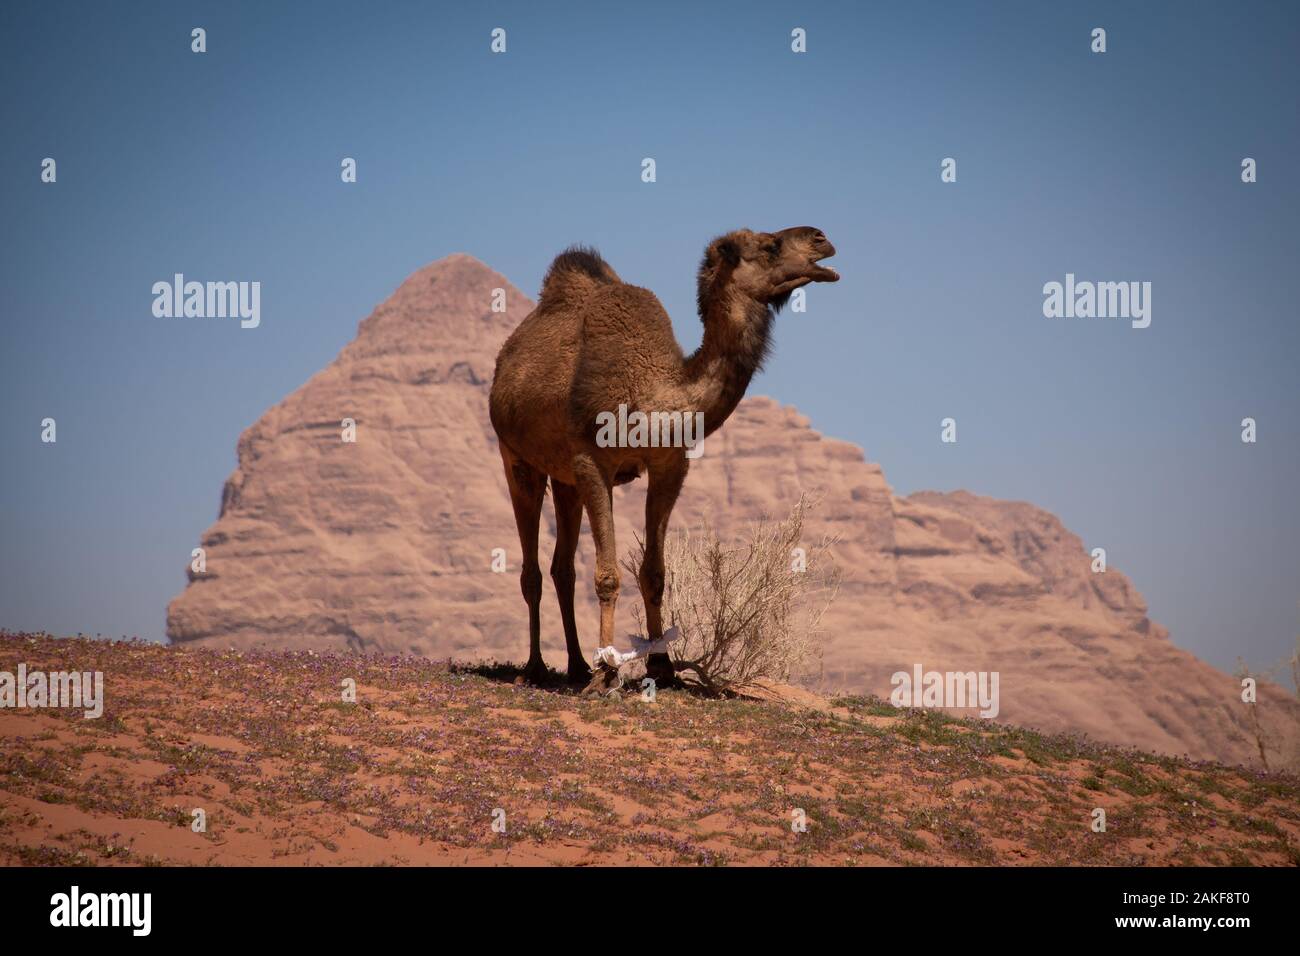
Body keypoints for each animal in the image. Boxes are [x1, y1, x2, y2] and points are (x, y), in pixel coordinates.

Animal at [489, 226, 839, 686]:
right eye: (769, 246)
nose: (822, 240)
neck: (655, 393)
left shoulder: (669, 464)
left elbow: (653, 573)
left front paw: (662, 666)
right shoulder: (592, 460)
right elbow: (607, 574)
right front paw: (607, 673)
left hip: (564, 478)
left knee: (562, 568)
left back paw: (577, 665)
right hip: (516, 455)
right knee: (531, 569)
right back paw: (536, 668)